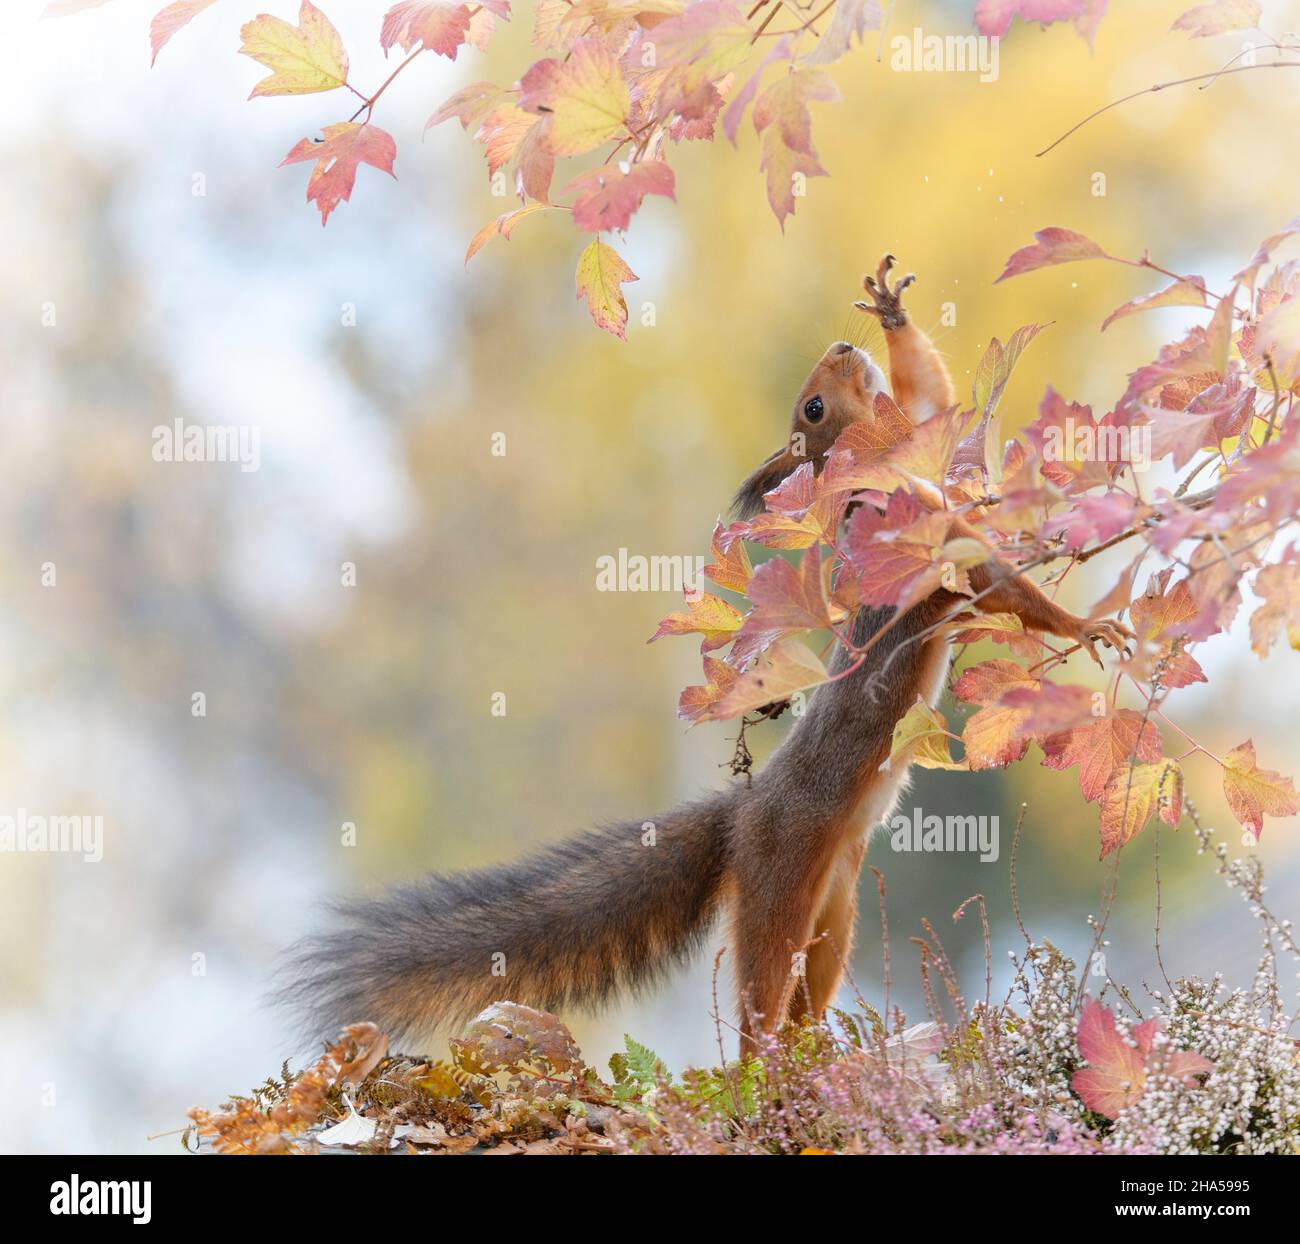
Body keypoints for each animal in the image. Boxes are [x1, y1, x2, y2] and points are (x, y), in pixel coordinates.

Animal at [282, 256, 1134, 1048]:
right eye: (813, 408)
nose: (840, 347)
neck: (876, 470)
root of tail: (744, 812)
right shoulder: (922, 533)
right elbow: (993, 581)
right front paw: (1082, 626)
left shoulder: (931, 453)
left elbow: (931, 399)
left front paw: (891, 309)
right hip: (777, 888)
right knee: (761, 1002)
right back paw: (769, 1069)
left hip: (835, 912)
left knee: (806, 993)